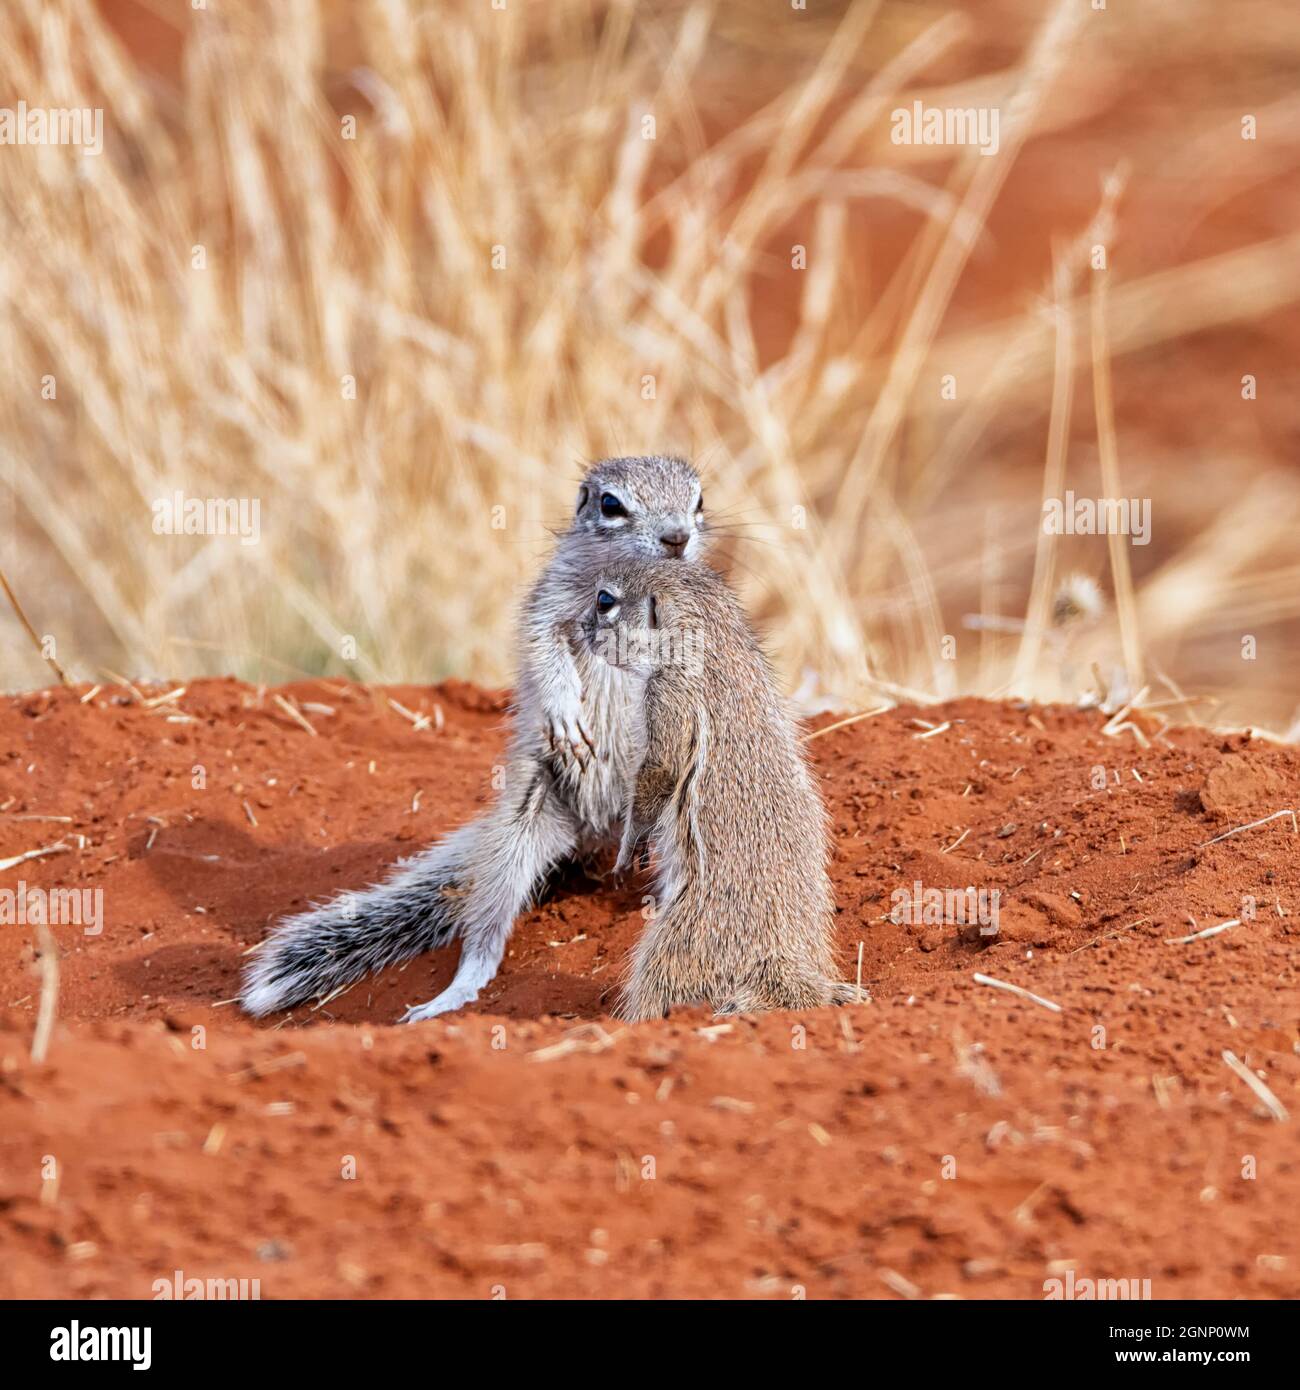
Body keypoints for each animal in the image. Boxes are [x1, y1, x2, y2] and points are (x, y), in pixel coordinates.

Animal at [240, 455, 709, 1022]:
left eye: (698, 500)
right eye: (611, 503)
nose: (677, 538)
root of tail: (594, 831)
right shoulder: (550, 600)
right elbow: (544, 648)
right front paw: (564, 712)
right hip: (521, 822)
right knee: (486, 925)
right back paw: (458, 988)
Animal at [578, 555, 860, 1020]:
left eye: (605, 599)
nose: (576, 625)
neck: (715, 642)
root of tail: (788, 963)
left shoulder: (669, 695)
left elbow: (659, 771)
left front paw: (627, 849)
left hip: (675, 944)